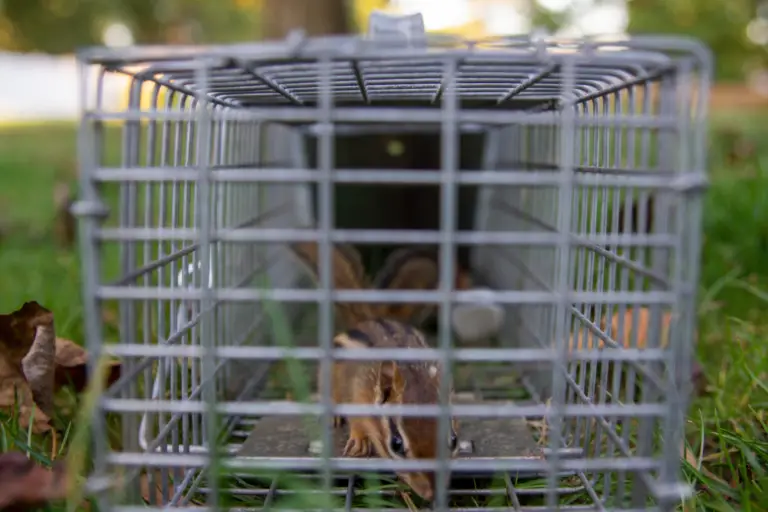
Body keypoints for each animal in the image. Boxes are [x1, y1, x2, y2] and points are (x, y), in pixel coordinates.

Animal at [289, 242, 460, 501]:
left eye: (453, 440)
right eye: (396, 444)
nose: (432, 494)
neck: (412, 374)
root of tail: (372, 319)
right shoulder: (357, 395)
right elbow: (357, 421)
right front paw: (360, 440)